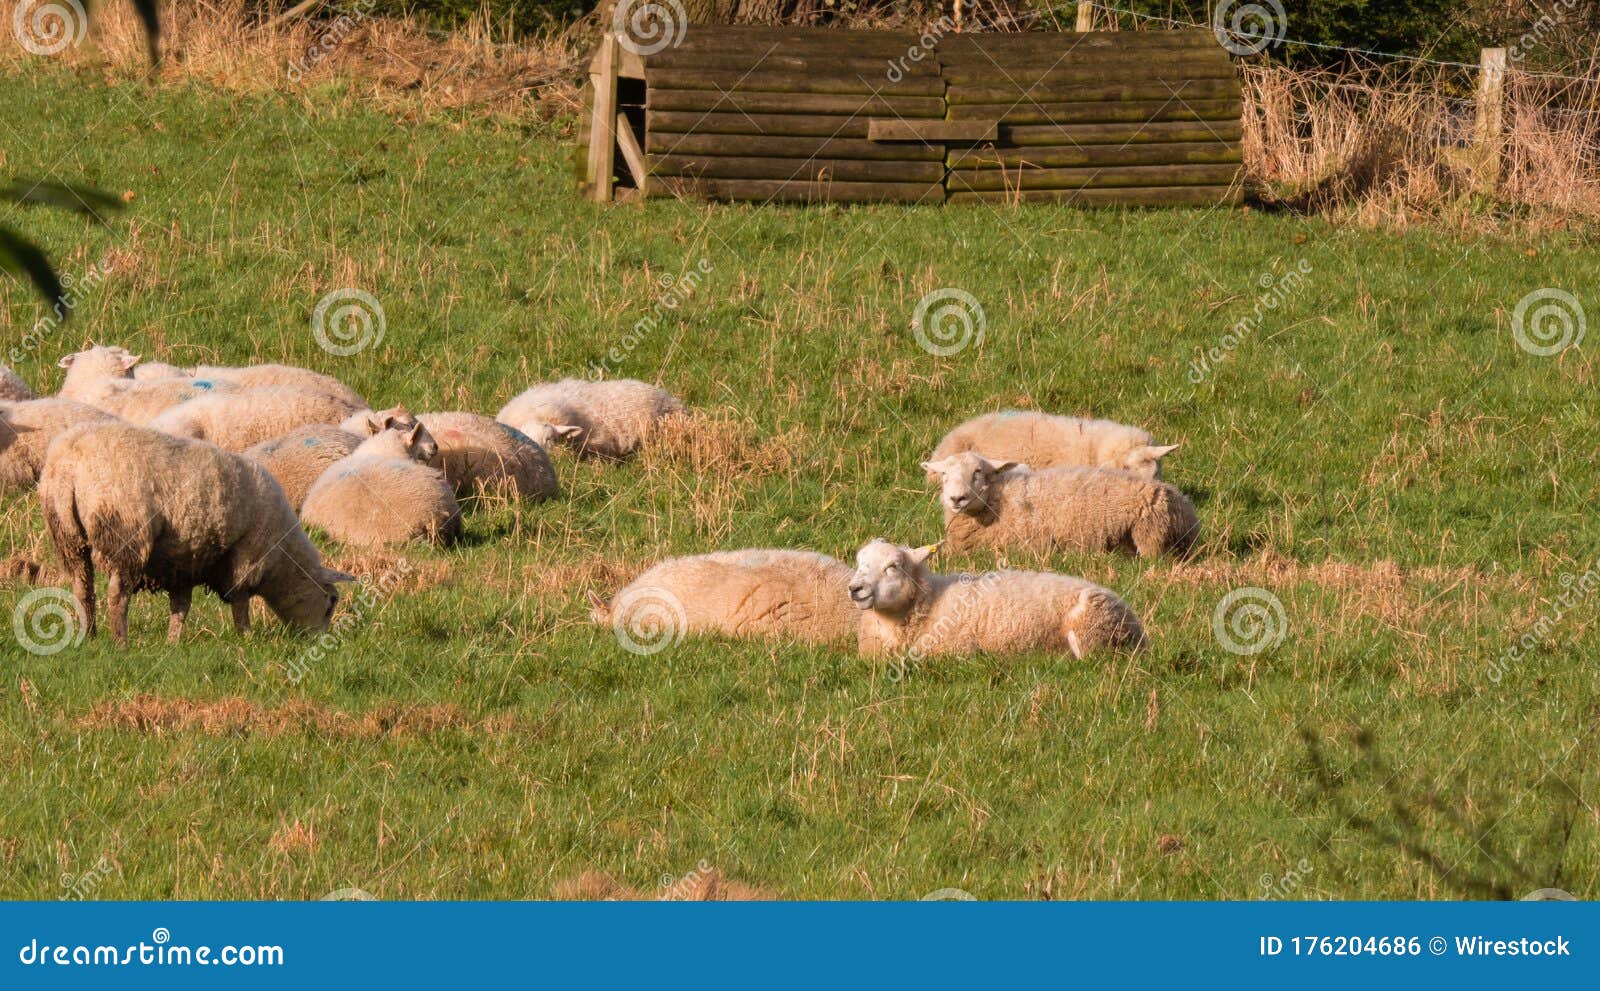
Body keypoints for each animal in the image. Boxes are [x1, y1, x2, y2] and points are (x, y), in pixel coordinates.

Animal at [38, 420, 353, 643]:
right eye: (331, 602)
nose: (316, 640)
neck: (284, 561)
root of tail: (69, 464)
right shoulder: (247, 554)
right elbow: (240, 601)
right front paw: (247, 637)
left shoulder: (184, 558)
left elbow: (181, 605)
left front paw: (172, 642)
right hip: (126, 532)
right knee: (117, 594)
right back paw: (120, 642)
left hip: (67, 536)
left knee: (82, 586)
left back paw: (88, 636)